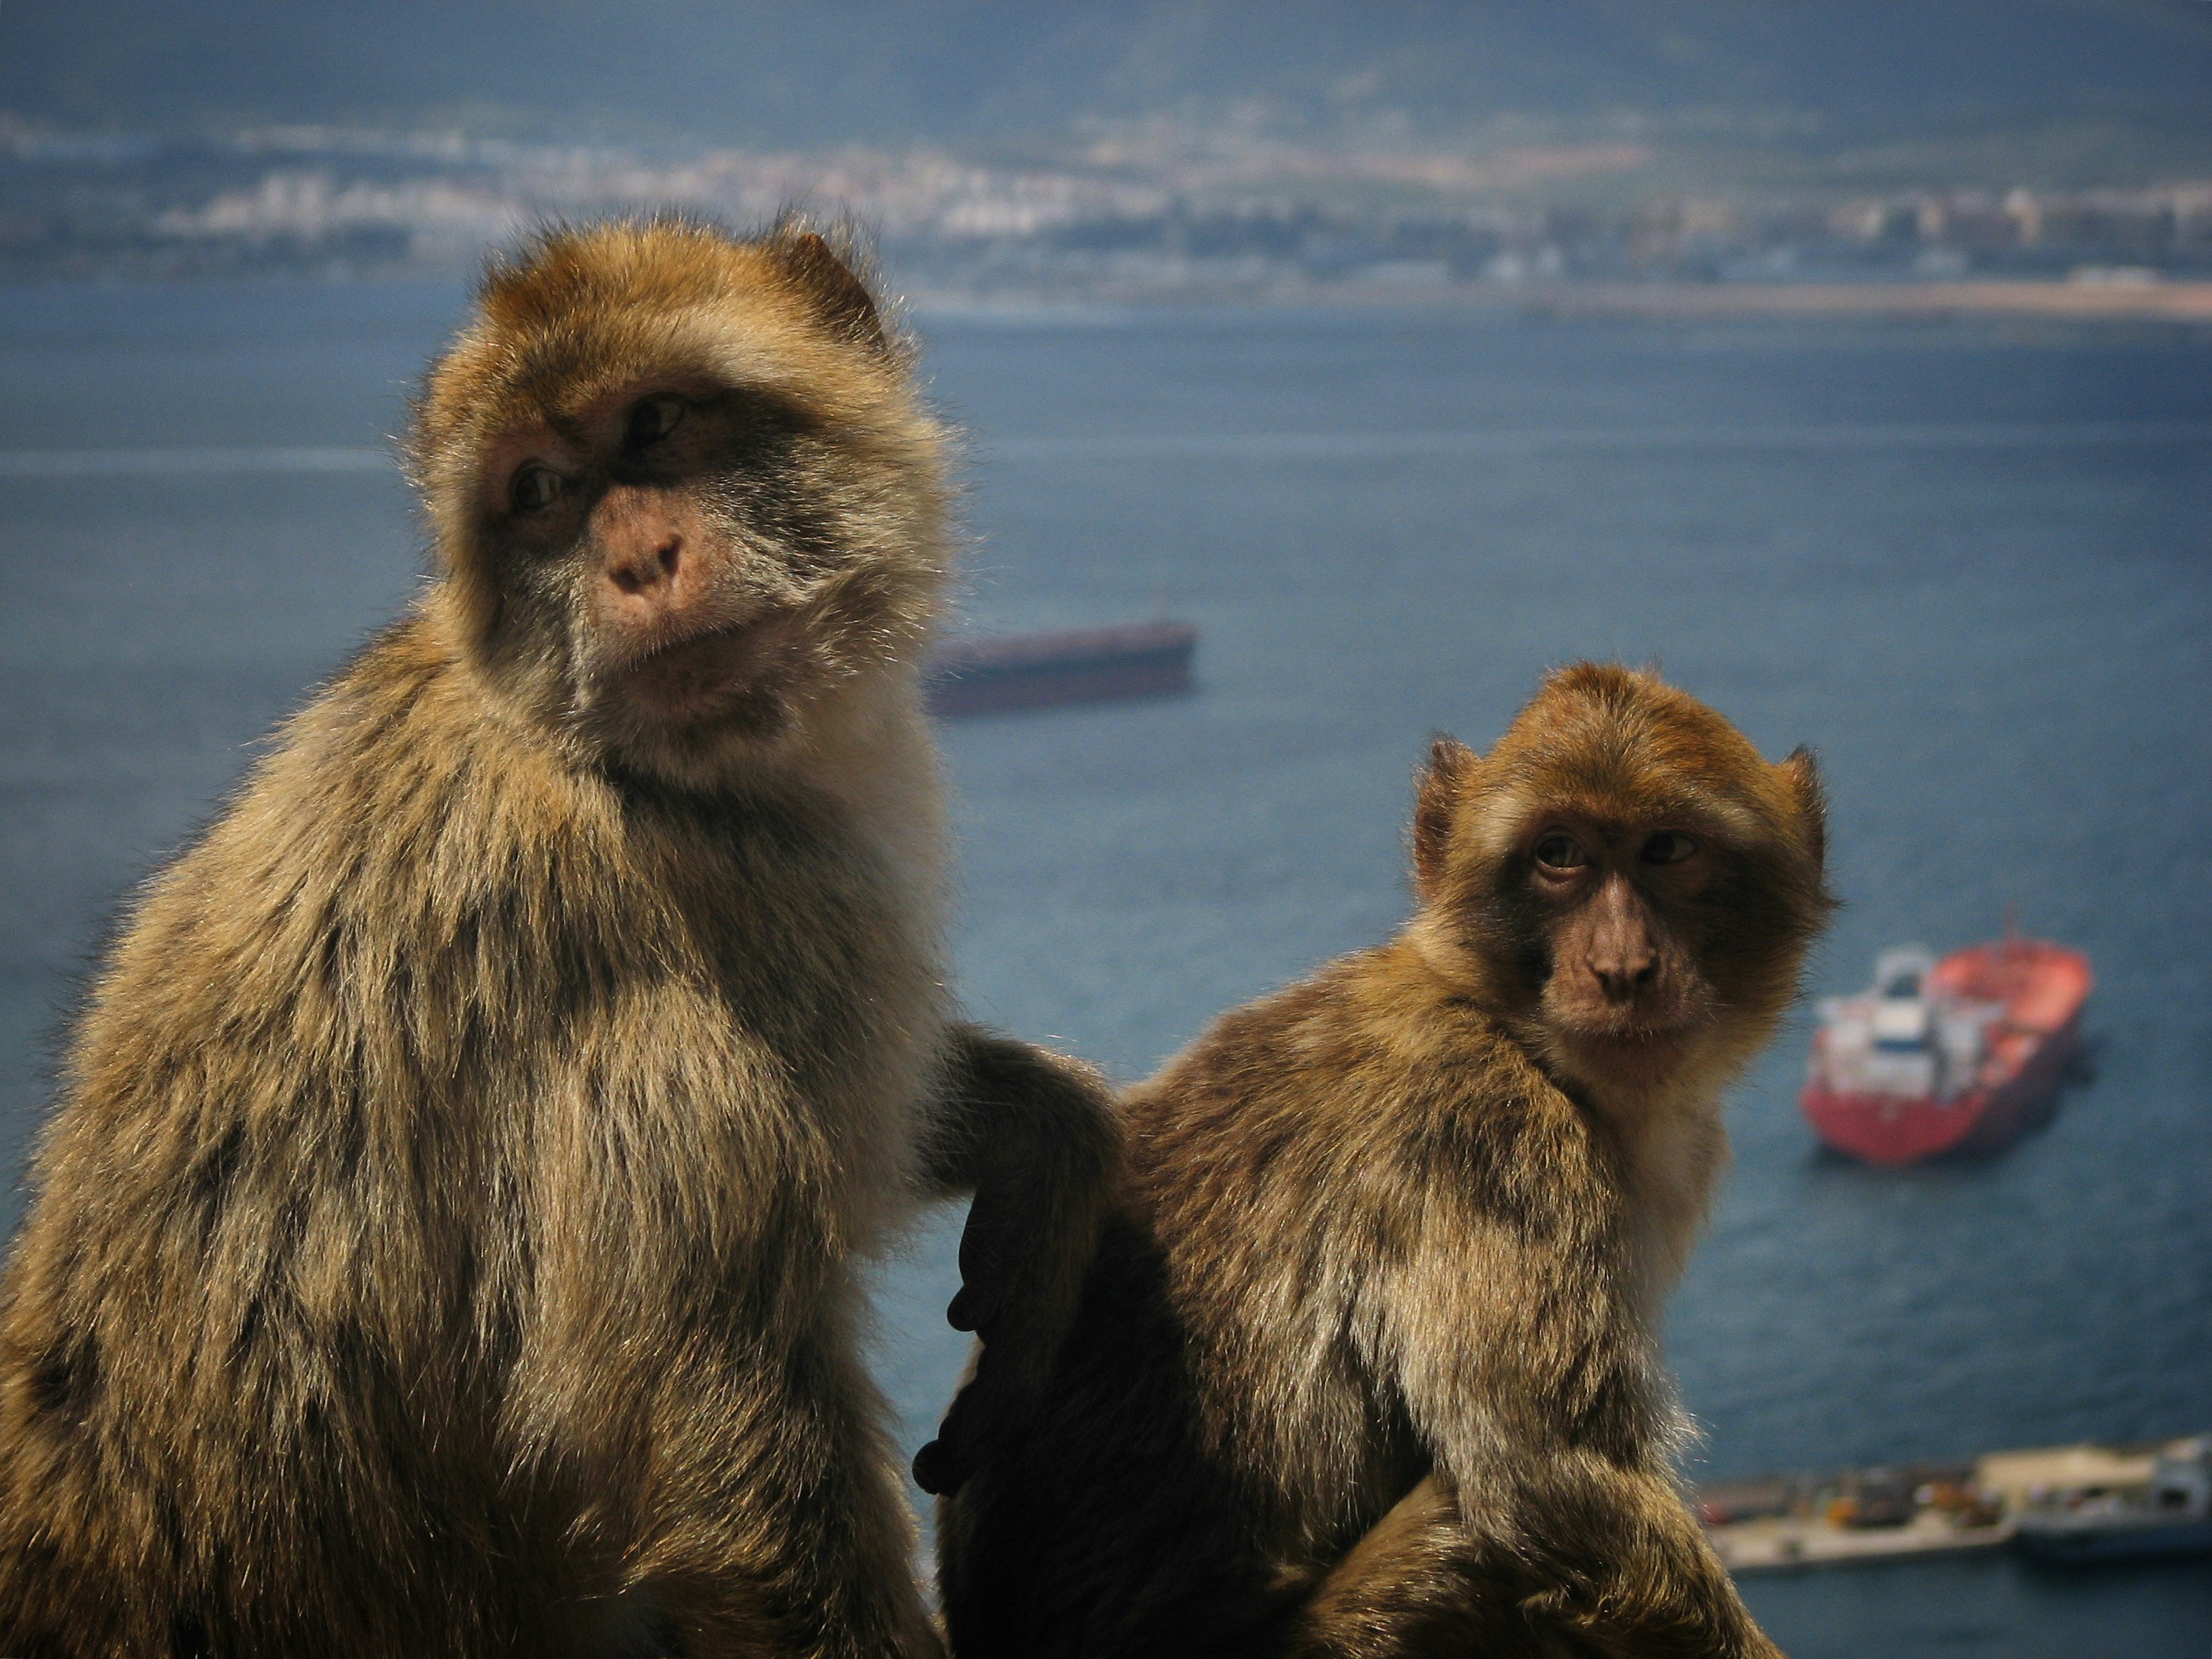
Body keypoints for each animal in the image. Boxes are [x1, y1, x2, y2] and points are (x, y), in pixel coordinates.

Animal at [0, 218, 1119, 1658]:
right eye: (539, 489)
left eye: (655, 423)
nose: (636, 563)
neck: (632, 767)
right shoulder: (670, 996)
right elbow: (726, 1470)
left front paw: (1047, 1134)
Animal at [937, 663, 1833, 1659]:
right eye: (1556, 855)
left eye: (1666, 850)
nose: (1620, 968)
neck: (1499, 1019)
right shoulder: (1494, 1134)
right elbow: (1551, 1489)